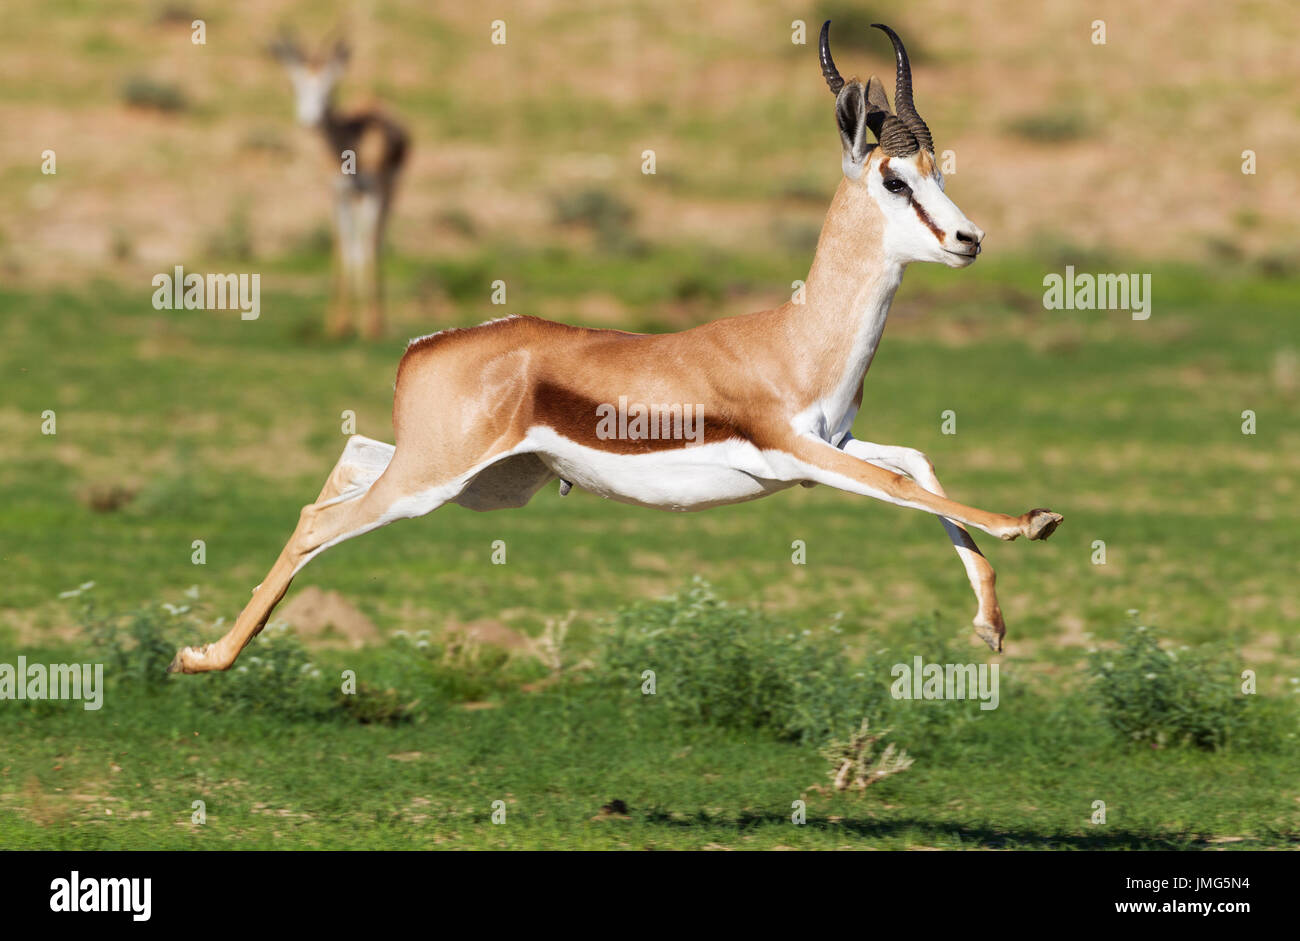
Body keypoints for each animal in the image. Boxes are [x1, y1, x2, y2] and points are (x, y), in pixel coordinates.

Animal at [270, 34, 409, 339]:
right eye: (298, 85)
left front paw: (371, 325)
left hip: (389, 193)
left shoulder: (374, 192)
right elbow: (342, 247)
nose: (309, 119)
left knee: (374, 243)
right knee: (356, 246)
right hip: (357, 197)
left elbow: (368, 246)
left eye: (328, 86)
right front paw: (338, 324)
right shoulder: (337, 193)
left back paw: (377, 320)